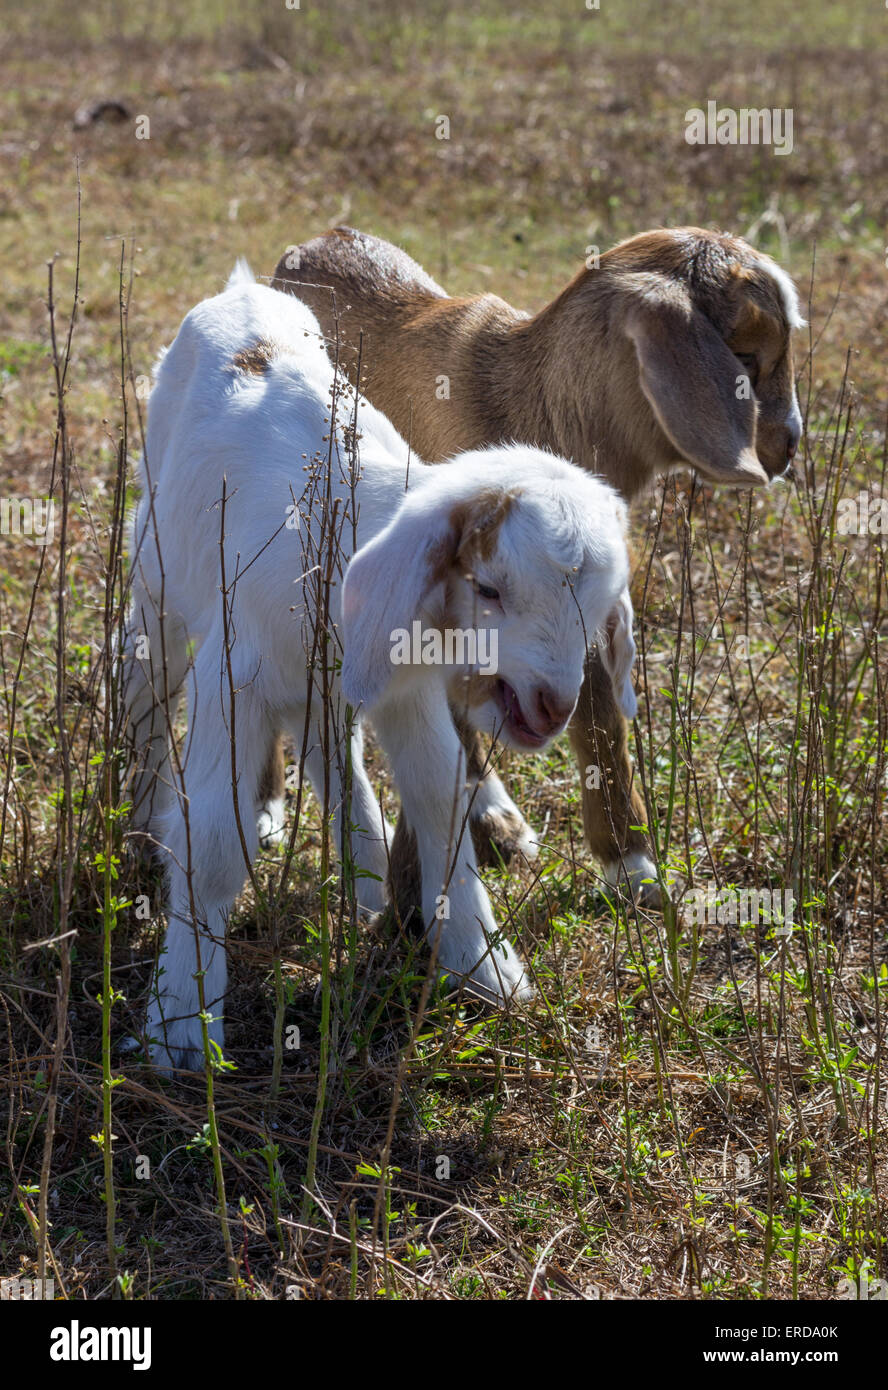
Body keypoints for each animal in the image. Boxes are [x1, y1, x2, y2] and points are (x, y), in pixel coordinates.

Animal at [122, 264, 636, 1071]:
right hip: (159, 580)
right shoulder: (233, 682)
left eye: (602, 601)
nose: (554, 705)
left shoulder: (405, 690)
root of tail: (240, 290)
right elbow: (212, 844)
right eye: (488, 588)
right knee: (144, 679)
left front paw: (484, 967)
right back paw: (142, 827)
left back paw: (363, 881)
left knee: (332, 753)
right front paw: (181, 1025)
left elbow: (439, 803)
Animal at [270, 225, 805, 906]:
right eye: (747, 357)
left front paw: (632, 868)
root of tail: (320, 238)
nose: (790, 443)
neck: (532, 407)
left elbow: (598, 712)